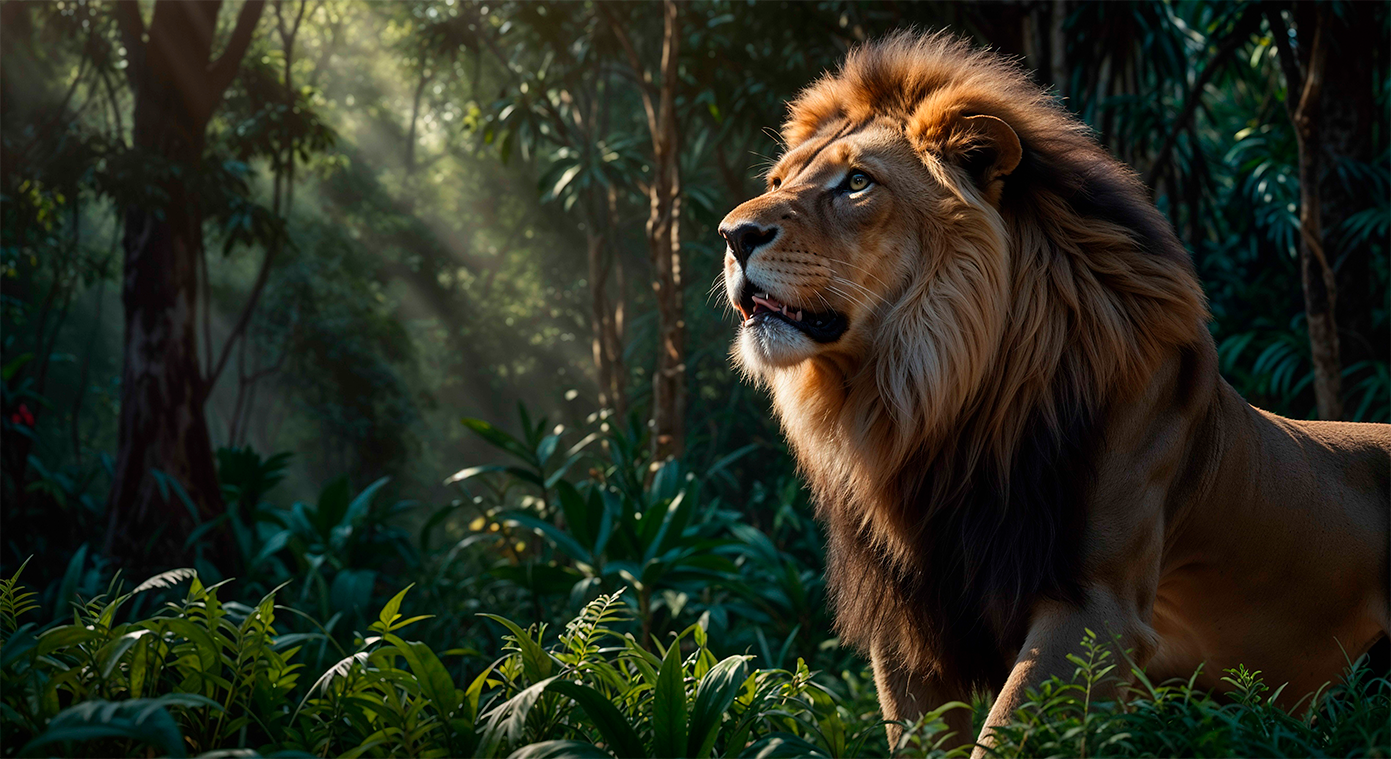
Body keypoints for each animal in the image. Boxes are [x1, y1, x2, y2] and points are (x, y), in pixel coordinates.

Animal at [718, 31, 1390, 755]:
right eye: (777, 183)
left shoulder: (1096, 605)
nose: (732, 236)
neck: (930, 406)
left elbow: (1005, 733)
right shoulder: (906, 624)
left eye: (857, 183)